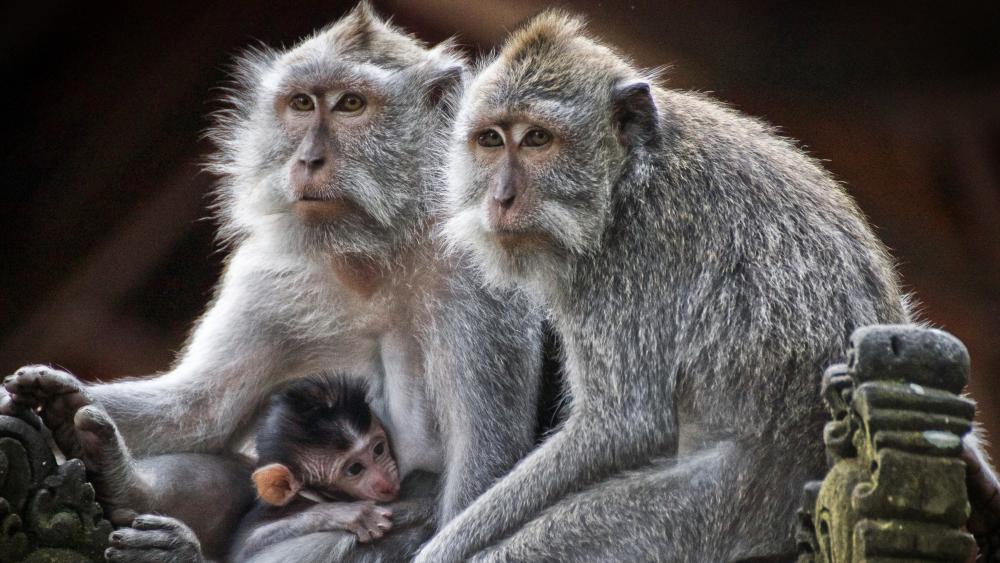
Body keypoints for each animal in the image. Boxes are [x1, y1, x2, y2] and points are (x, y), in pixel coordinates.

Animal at [2, 4, 542, 562]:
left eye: (351, 104)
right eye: (301, 104)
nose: (307, 159)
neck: (373, 252)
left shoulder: (483, 286)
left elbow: (481, 470)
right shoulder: (267, 274)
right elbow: (201, 411)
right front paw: (58, 400)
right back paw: (125, 485)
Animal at [416, 10, 972, 562]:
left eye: (537, 139)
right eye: (491, 140)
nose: (501, 197)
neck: (626, 182)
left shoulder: (632, 263)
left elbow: (625, 426)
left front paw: (442, 549)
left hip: (702, 519)